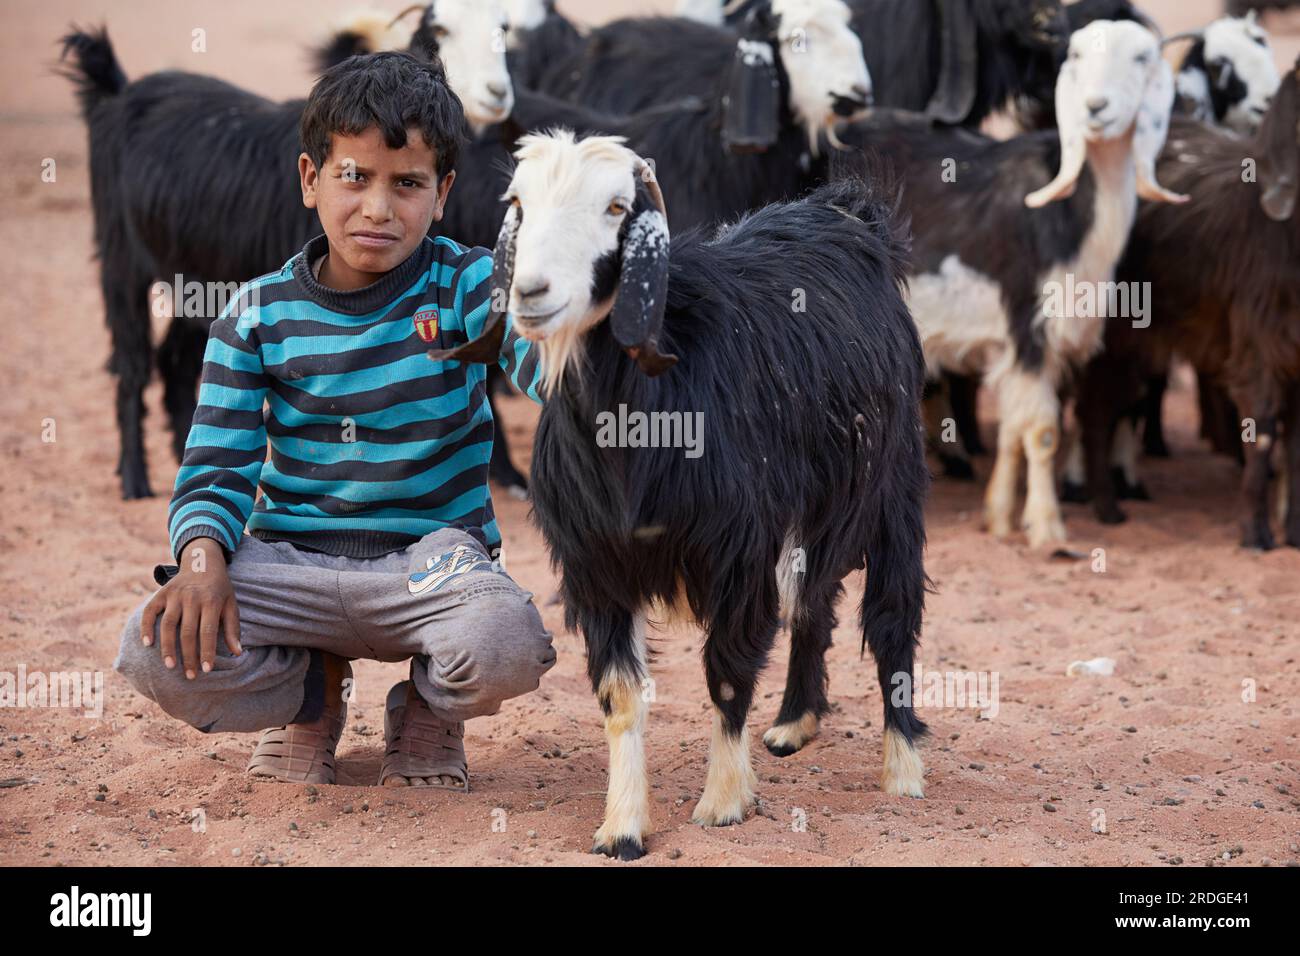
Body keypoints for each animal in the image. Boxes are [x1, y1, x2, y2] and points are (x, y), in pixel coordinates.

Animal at [61, 3, 519, 500]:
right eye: (440, 29)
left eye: (504, 27)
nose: (498, 94)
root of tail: (119, 91)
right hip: (120, 261)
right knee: (132, 366)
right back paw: (135, 480)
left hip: (199, 279)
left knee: (177, 363)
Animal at [432, 132, 930, 859]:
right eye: (519, 203)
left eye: (616, 208)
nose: (531, 291)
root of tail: (848, 215)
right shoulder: (596, 568)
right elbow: (620, 698)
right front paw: (622, 827)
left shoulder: (737, 553)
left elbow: (727, 670)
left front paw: (723, 802)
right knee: (814, 598)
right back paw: (795, 721)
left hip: (893, 488)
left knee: (892, 616)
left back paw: (903, 772)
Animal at [840, 20, 1187, 548]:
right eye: (1077, 56)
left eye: (1142, 58)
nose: (1096, 108)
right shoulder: (1029, 324)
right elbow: (1042, 431)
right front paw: (1047, 531)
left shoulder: (1017, 343)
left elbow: (1012, 429)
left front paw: (1000, 517)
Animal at [1075, 58, 1300, 548]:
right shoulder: (1257, 348)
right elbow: (1264, 436)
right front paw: (1255, 533)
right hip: (1114, 340)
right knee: (1095, 411)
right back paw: (1106, 508)